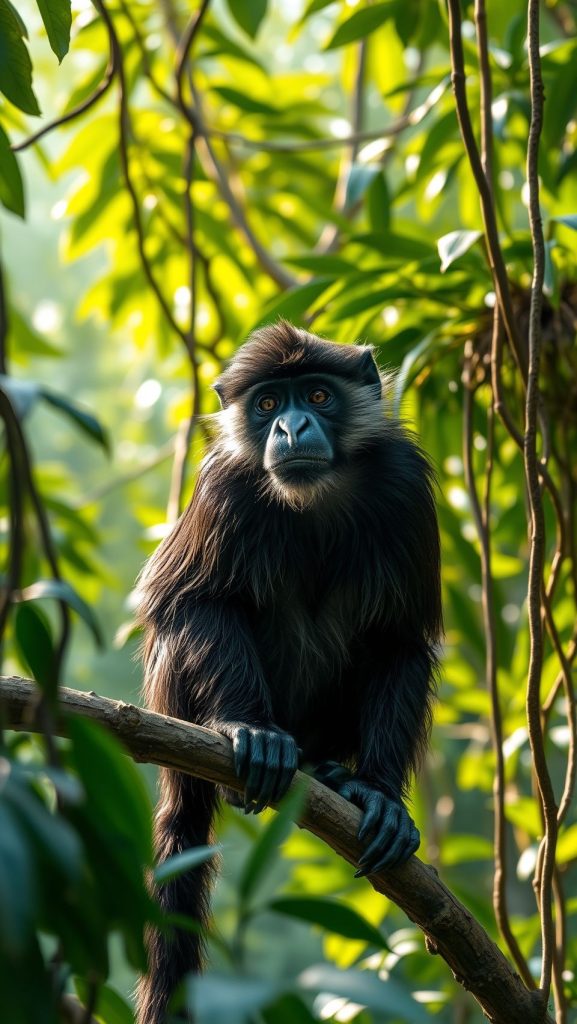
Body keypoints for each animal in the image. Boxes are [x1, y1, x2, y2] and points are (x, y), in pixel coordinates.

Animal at [135, 321, 442, 1024]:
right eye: (269, 403)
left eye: (319, 395)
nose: (292, 426)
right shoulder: (225, 485)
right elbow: (191, 602)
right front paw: (252, 731)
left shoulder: (405, 483)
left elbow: (401, 642)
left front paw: (380, 795)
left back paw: (331, 774)